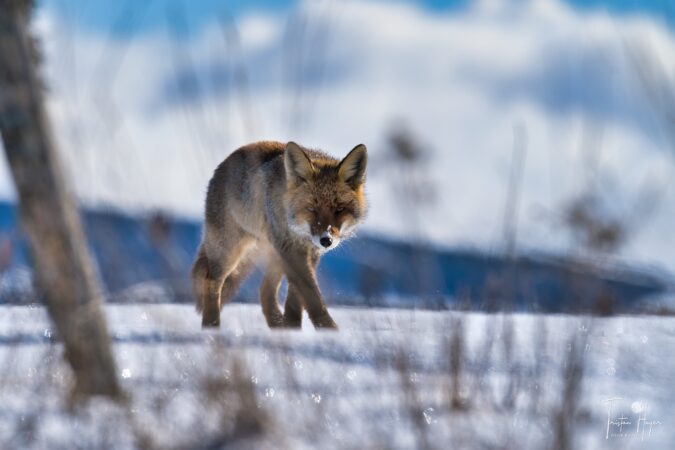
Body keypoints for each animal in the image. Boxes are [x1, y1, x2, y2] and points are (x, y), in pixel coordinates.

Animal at [191, 141, 367, 329]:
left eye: (339, 209)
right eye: (312, 209)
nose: (326, 240)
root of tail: (222, 165)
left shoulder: (309, 252)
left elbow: (297, 295)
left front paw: (293, 327)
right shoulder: (291, 248)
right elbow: (311, 295)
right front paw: (329, 331)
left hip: (273, 255)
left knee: (265, 290)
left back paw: (277, 325)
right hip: (229, 253)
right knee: (212, 281)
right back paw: (211, 327)